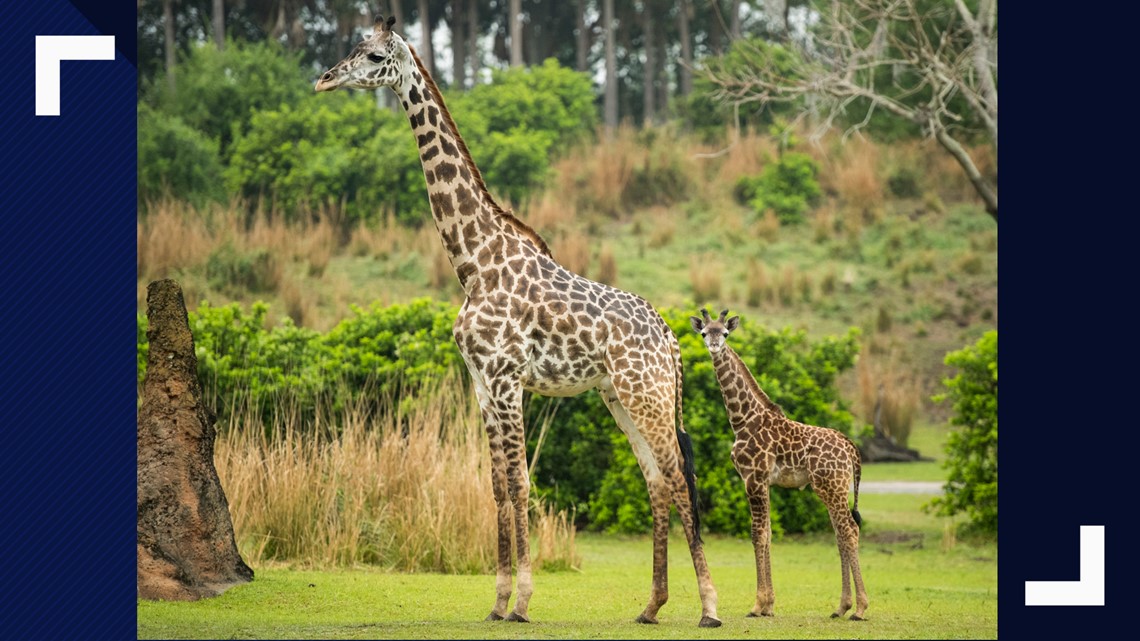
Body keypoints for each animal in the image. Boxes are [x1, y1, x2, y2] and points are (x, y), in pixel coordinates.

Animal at [315, 17, 721, 627]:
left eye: (374, 55)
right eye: (354, 47)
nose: (324, 78)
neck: (472, 263)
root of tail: (672, 340)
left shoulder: (508, 380)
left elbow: (521, 480)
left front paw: (524, 602)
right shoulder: (481, 383)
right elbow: (497, 486)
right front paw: (498, 600)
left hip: (646, 394)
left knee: (677, 477)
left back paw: (710, 607)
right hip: (619, 396)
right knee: (654, 480)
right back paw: (652, 605)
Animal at [689, 308, 869, 621]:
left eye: (724, 332)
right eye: (703, 333)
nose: (714, 346)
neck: (742, 419)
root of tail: (851, 449)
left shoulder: (753, 478)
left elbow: (757, 534)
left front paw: (758, 604)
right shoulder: (763, 482)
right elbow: (769, 533)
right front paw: (769, 605)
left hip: (831, 486)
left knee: (849, 530)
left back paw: (859, 608)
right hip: (833, 488)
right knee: (841, 533)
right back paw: (842, 606)